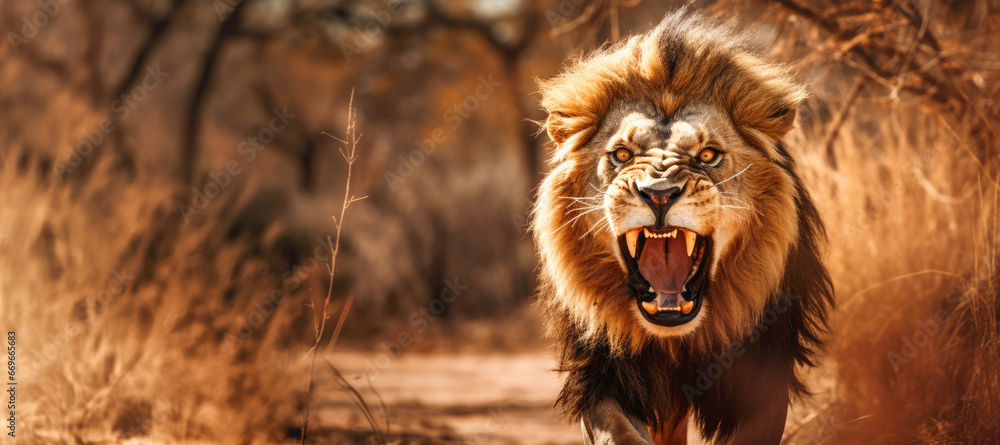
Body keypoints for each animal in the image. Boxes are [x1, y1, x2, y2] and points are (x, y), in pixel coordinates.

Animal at [531, 11, 833, 445]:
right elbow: (618, 433)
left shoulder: (762, 377)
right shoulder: (603, 376)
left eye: (707, 155)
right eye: (621, 154)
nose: (658, 194)